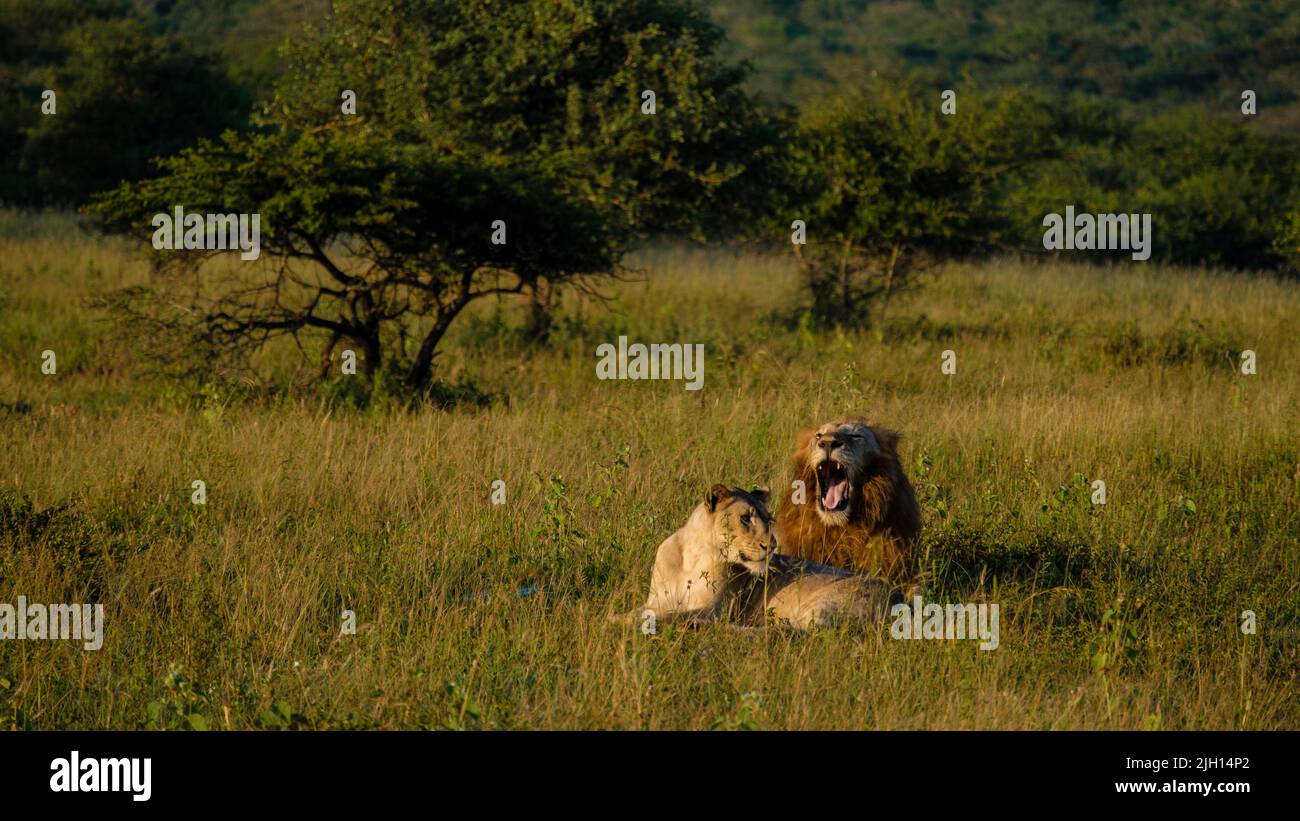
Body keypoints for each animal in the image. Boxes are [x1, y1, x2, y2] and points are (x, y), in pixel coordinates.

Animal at [626, 483, 902, 630]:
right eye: (745, 518)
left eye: (768, 519)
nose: (771, 545)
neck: (693, 557)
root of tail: (901, 600)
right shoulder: (657, 601)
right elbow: (644, 611)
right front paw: (621, 617)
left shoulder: (714, 610)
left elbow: (671, 616)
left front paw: (623, 623)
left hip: (823, 606)